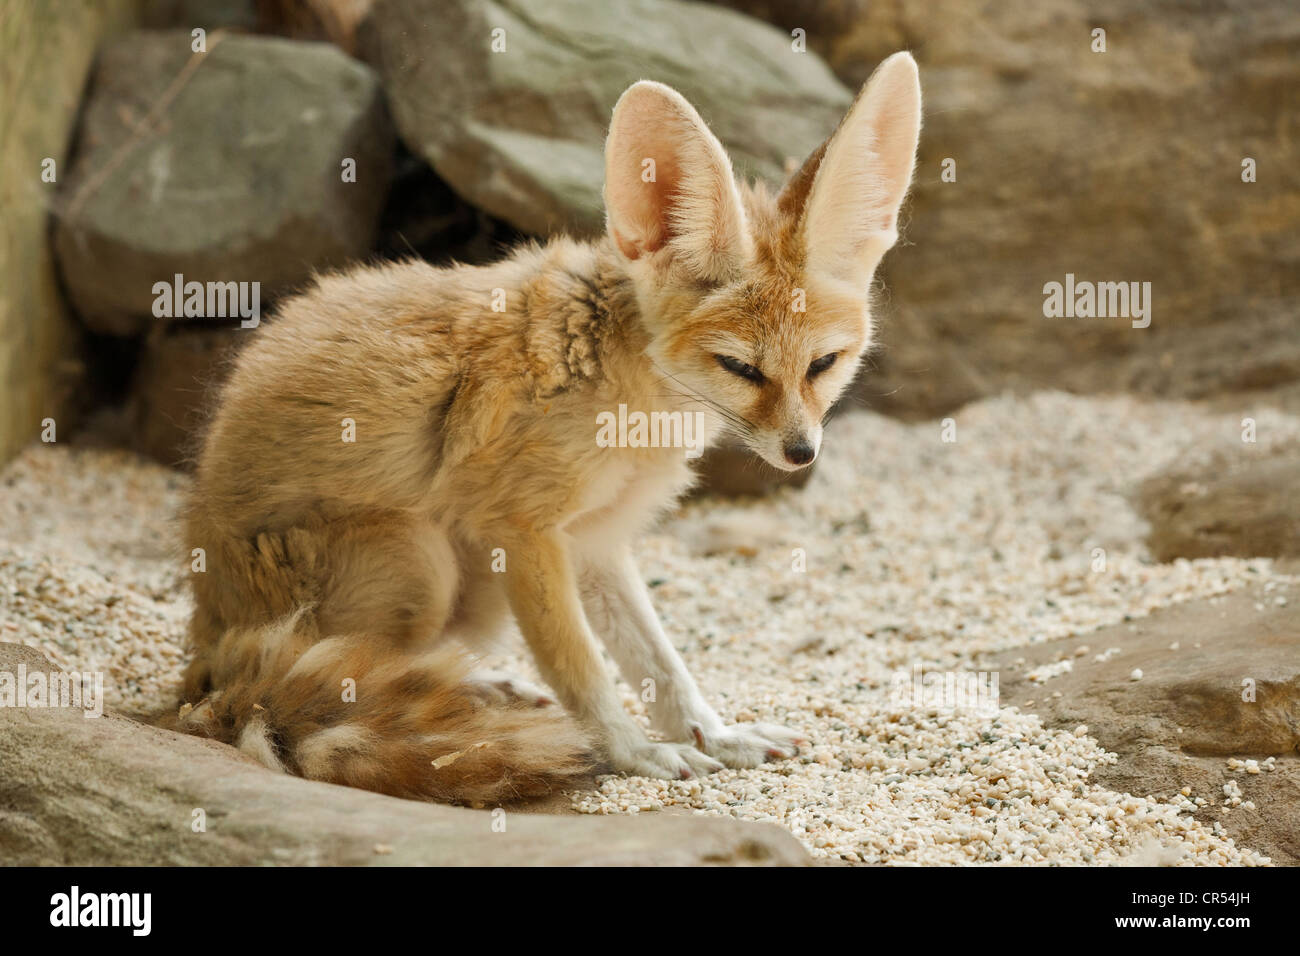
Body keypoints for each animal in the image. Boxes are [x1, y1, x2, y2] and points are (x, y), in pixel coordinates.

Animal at [175, 53, 922, 803]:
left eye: (824, 364)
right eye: (740, 367)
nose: (801, 453)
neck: (630, 395)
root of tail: (206, 657)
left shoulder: (596, 540)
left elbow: (660, 664)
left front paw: (714, 733)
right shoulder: (525, 530)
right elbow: (581, 667)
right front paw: (629, 751)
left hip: (470, 583)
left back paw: (477, 685)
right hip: (424, 557)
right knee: (343, 662)